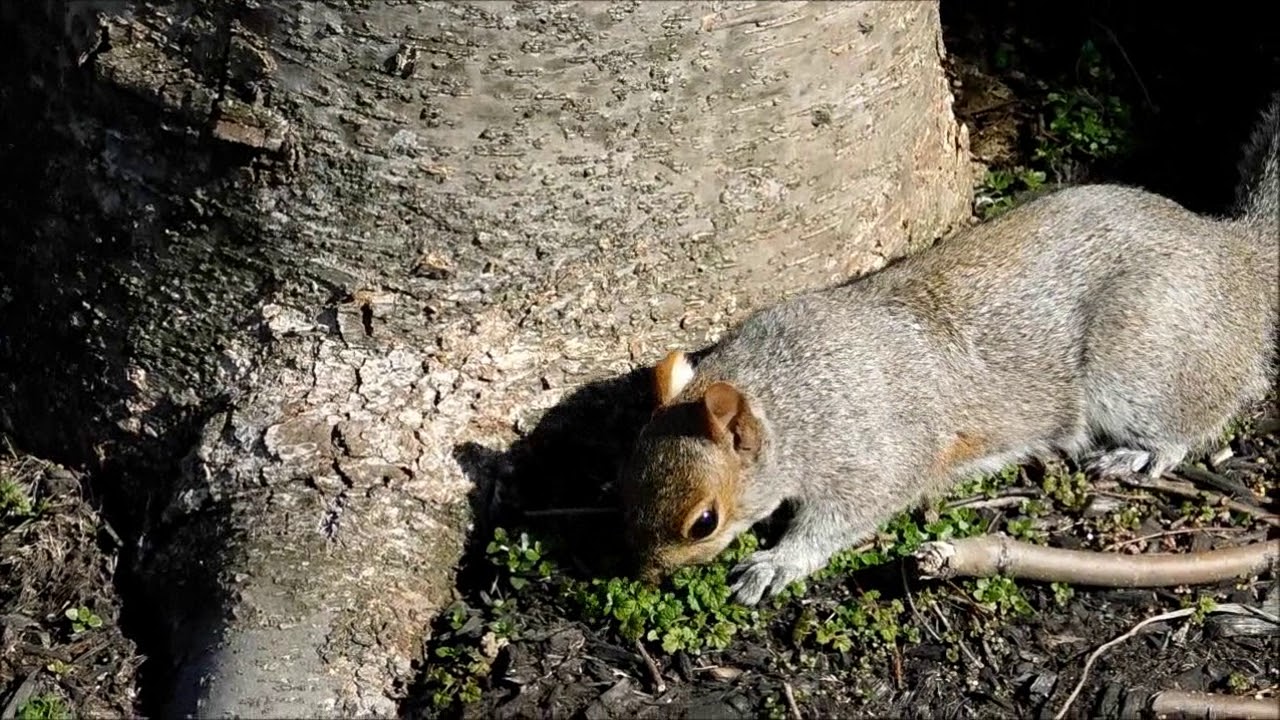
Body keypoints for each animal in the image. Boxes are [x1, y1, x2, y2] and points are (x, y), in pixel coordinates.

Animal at [619, 92, 1280, 607]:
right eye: (623, 485)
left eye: (704, 522)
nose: (646, 576)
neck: (792, 397)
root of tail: (1238, 258)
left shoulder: (874, 456)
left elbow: (845, 516)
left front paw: (777, 563)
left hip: (1143, 357)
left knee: (1196, 422)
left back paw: (1141, 453)